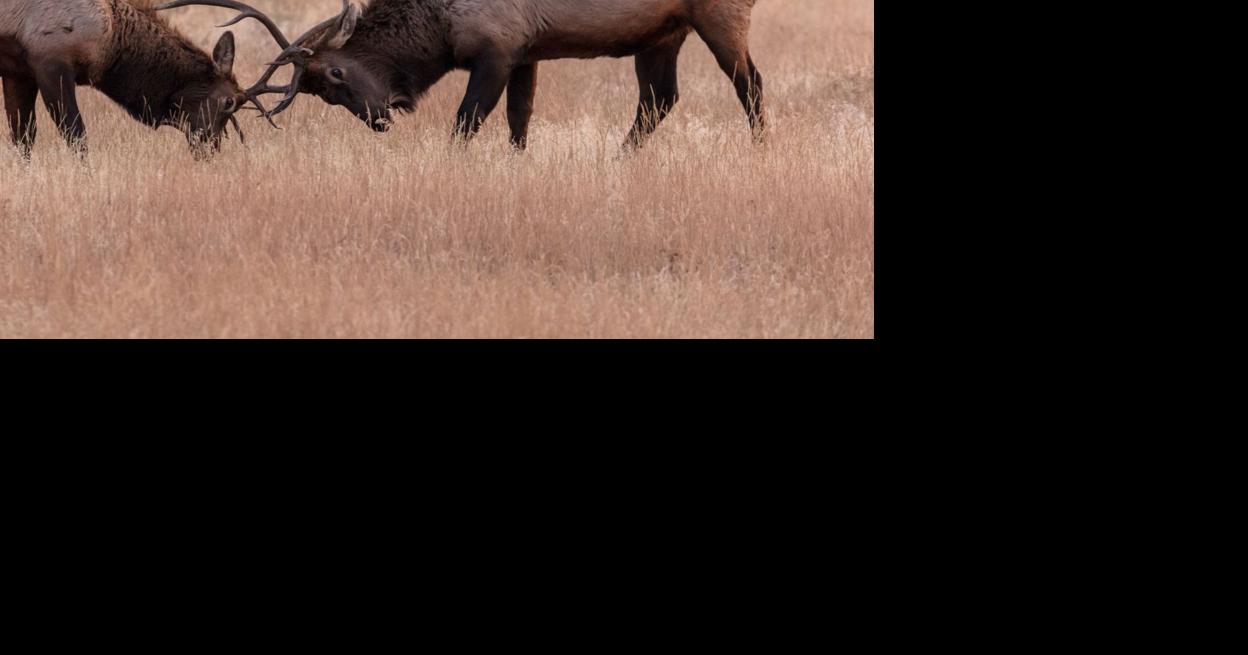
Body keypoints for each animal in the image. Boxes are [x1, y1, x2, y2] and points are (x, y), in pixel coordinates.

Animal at [0, 0, 250, 159]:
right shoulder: (50, 65)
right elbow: (76, 135)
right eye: (229, 102)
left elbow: (23, 137)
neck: (110, 38)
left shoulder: (18, 73)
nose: (211, 149)